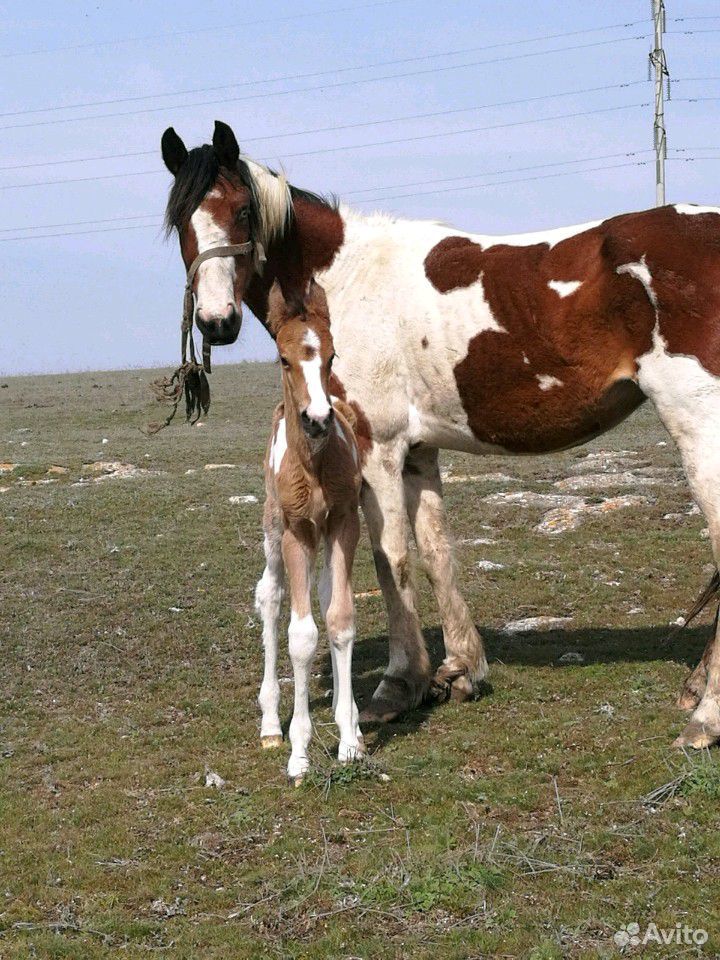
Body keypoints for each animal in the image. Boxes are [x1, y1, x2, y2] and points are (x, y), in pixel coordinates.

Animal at [161, 119, 720, 750]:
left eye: (242, 212)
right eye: (181, 220)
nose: (215, 321)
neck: (346, 277)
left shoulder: (376, 448)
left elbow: (391, 558)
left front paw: (397, 686)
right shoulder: (418, 452)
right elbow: (435, 553)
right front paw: (461, 671)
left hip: (699, 424)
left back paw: (706, 717)